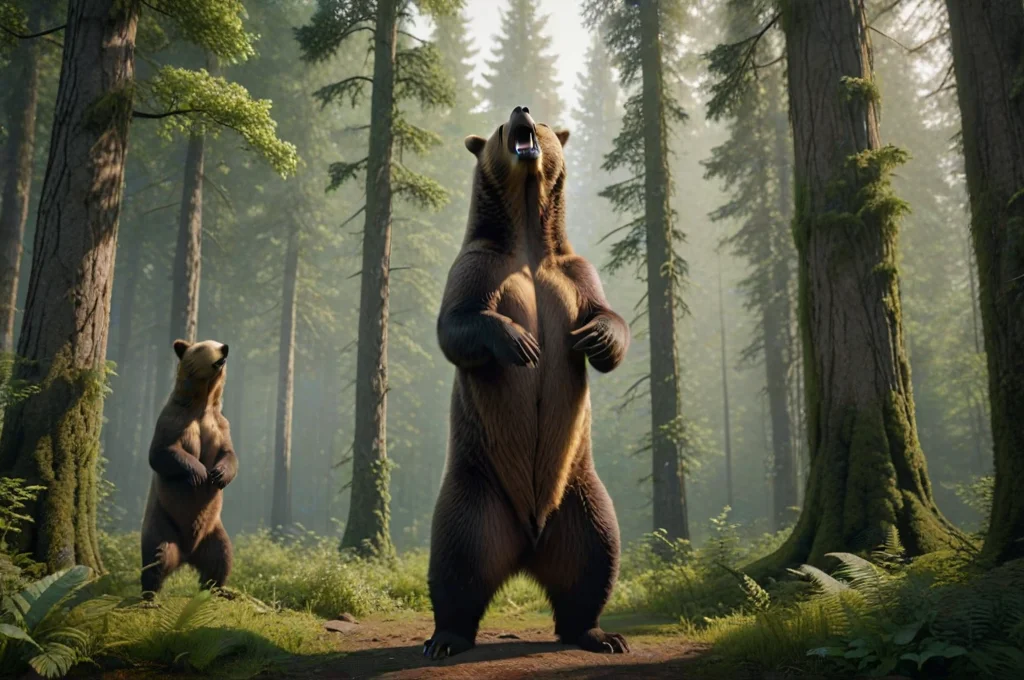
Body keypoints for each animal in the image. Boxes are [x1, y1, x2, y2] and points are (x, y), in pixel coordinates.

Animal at [140, 339, 237, 598]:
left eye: (219, 343)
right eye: (206, 346)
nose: (225, 348)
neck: (203, 402)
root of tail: (187, 555)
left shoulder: (220, 425)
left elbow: (229, 454)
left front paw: (218, 474)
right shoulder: (174, 419)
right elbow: (162, 452)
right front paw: (200, 472)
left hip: (213, 531)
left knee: (222, 557)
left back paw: (219, 589)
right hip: (162, 522)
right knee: (156, 557)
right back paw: (150, 594)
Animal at [424, 106, 631, 659]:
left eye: (541, 120)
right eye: (500, 127)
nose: (521, 109)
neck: (528, 240)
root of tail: (528, 544)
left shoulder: (575, 273)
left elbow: (607, 316)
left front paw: (594, 337)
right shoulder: (479, 265)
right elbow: (457, 323)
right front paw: (521, 343)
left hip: (580, 496)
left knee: (597, 558)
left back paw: (599, 633)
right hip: (478, 491)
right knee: (455, 561)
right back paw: (446, 637)